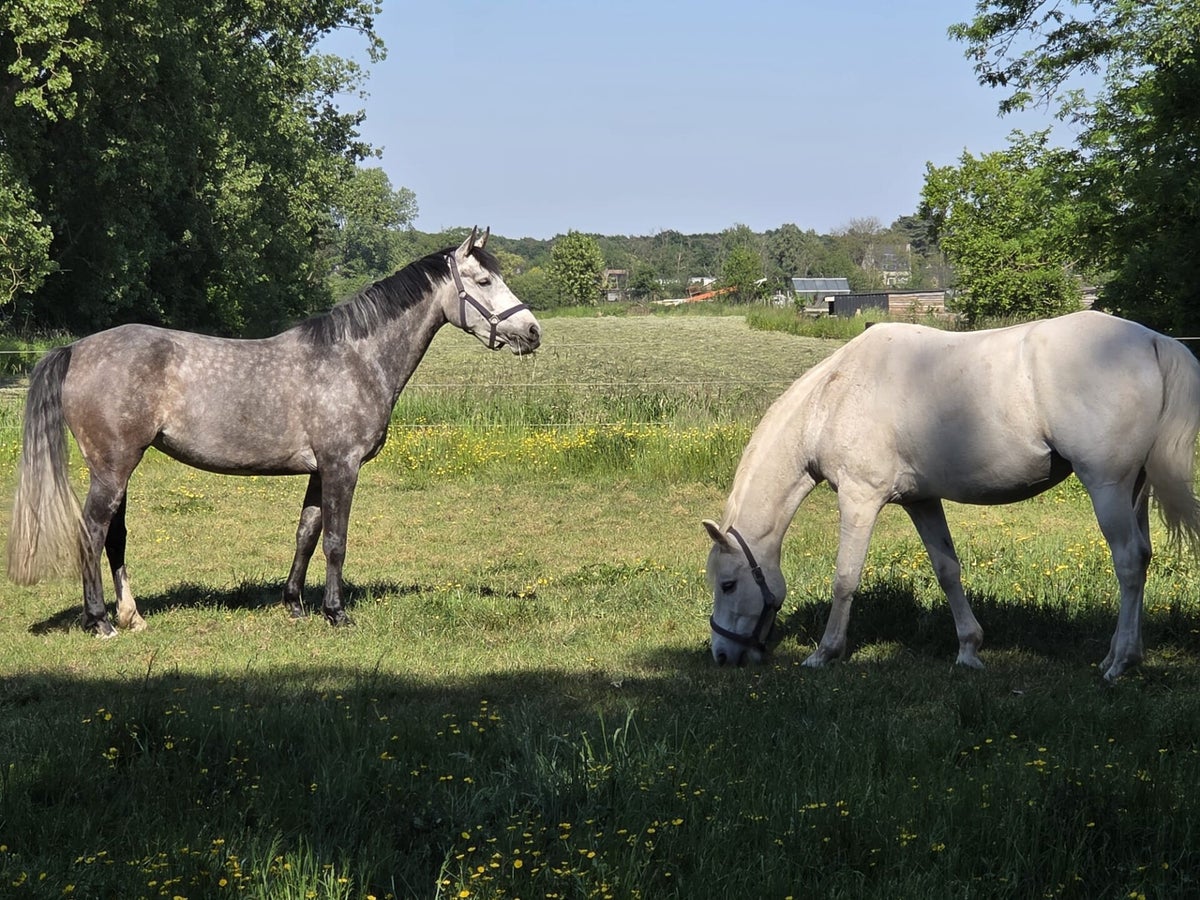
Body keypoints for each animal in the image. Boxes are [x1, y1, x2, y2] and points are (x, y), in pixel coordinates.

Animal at [6, 227, 541, 635]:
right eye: (483, 279)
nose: (533, 332)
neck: (354, 358)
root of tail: (75, 348)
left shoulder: (320, 471)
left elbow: (306, 533)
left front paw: (294, 604)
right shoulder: (342, 466)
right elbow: (336, 540)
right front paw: (336, 613)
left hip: (121, 469)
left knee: (114, 536)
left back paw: (132, 616)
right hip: (113, 467)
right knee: (92, 532)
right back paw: (100, 621)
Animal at [704, 310, 1200, 681]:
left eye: (728, 584)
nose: (722, 656)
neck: (830, 401)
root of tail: (1153, 340)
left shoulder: (860, 499)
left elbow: (845, 578)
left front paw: (824, 653)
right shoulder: (920, 502)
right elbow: (947, 571)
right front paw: (968, 650)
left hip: (1106, 486)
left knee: (1129, 561)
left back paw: (1119, 663)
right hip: (1133, 490)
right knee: (1143, 555)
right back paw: (1124, 654)